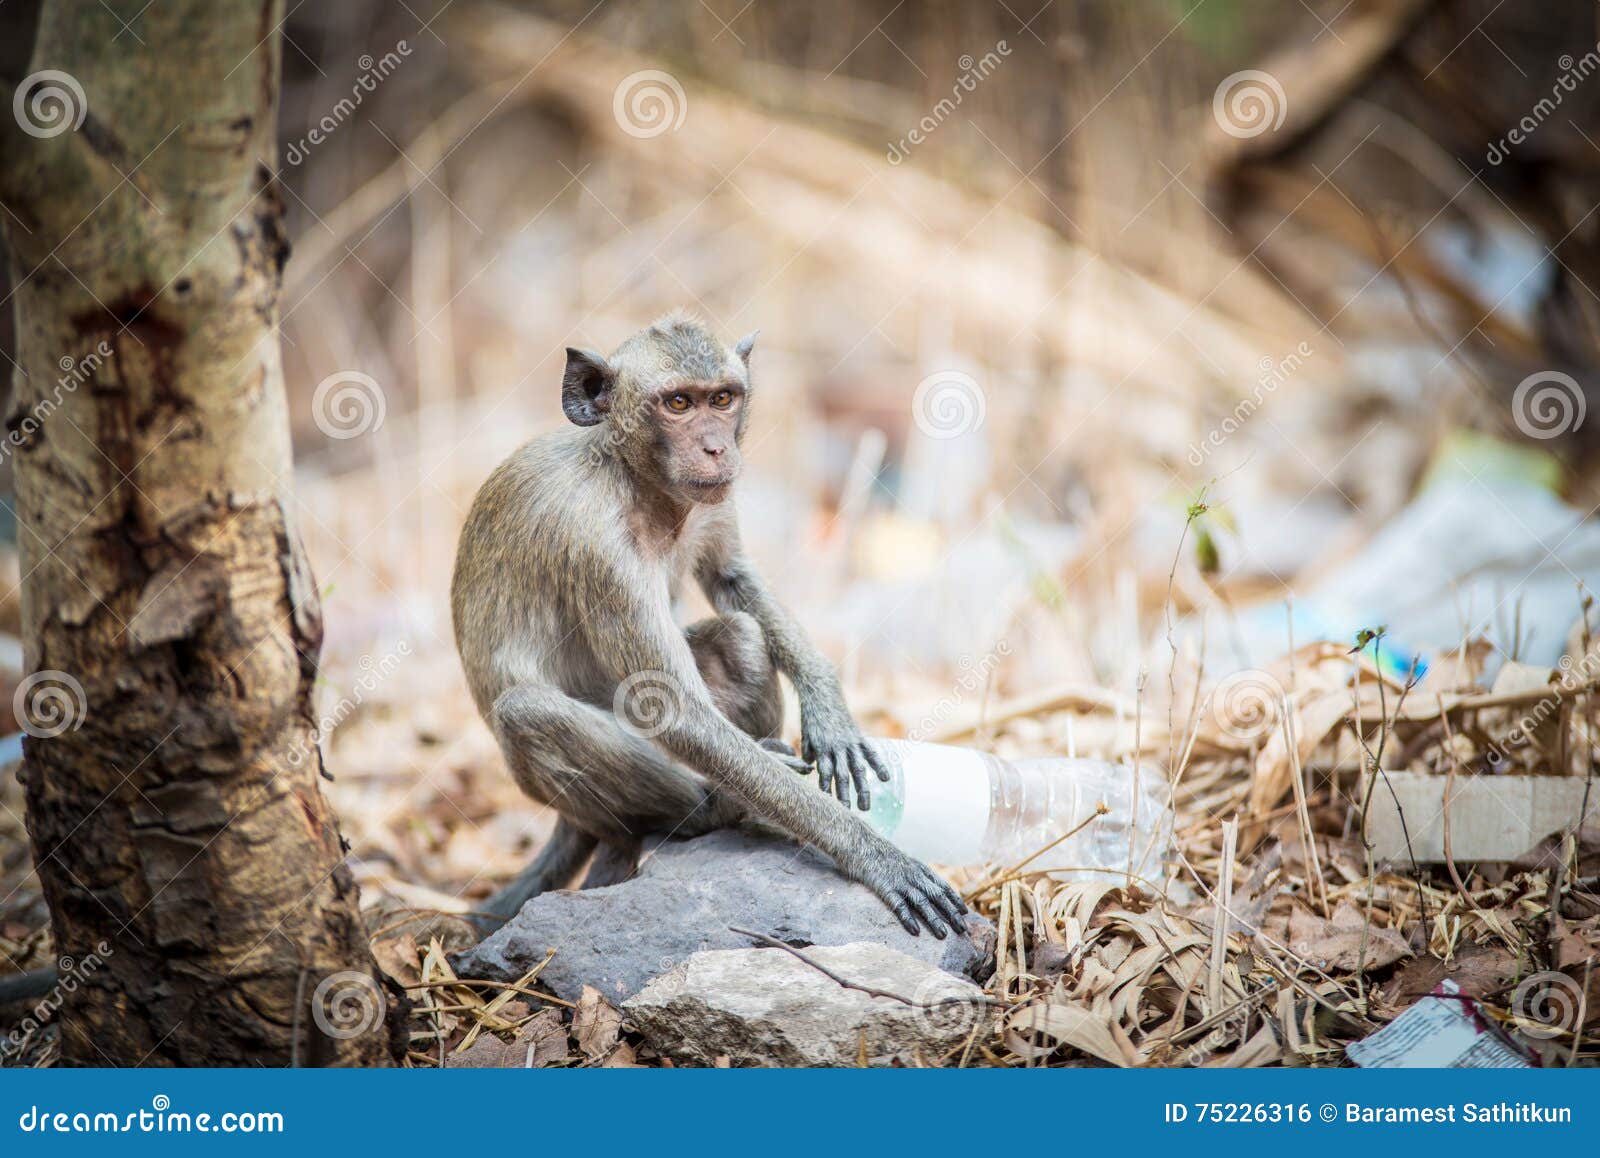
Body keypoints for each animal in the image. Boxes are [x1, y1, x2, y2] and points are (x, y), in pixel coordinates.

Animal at [451, 312, 968, 939]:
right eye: (678, 403)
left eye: (722, 398)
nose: (716, 447)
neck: (637, 481)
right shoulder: (598, 547)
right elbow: (670, 709)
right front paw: (873, 854)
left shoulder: (711, 502)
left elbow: (732, 578)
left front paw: (829, 710)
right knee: (528, 712)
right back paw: (713, 808)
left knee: (740, 637)